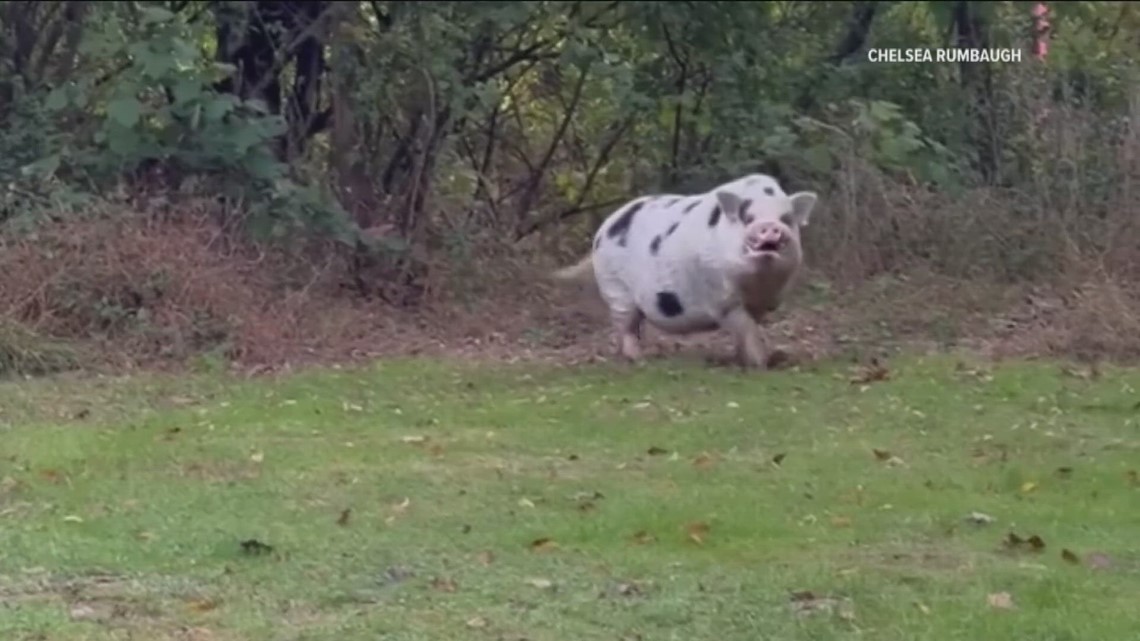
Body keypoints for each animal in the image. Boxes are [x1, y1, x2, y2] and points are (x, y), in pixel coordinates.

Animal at [551, 173, 818, 369]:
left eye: (786, 219)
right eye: (748, 218)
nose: (770, 226)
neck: (757, 283)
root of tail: (604, 229)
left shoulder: (761, 304)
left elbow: (750, 329)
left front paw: (748, 359)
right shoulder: (722, 300)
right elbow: (746, 329)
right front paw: (760, 364)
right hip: (616, 290)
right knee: (625, 327)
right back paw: (639, 360)